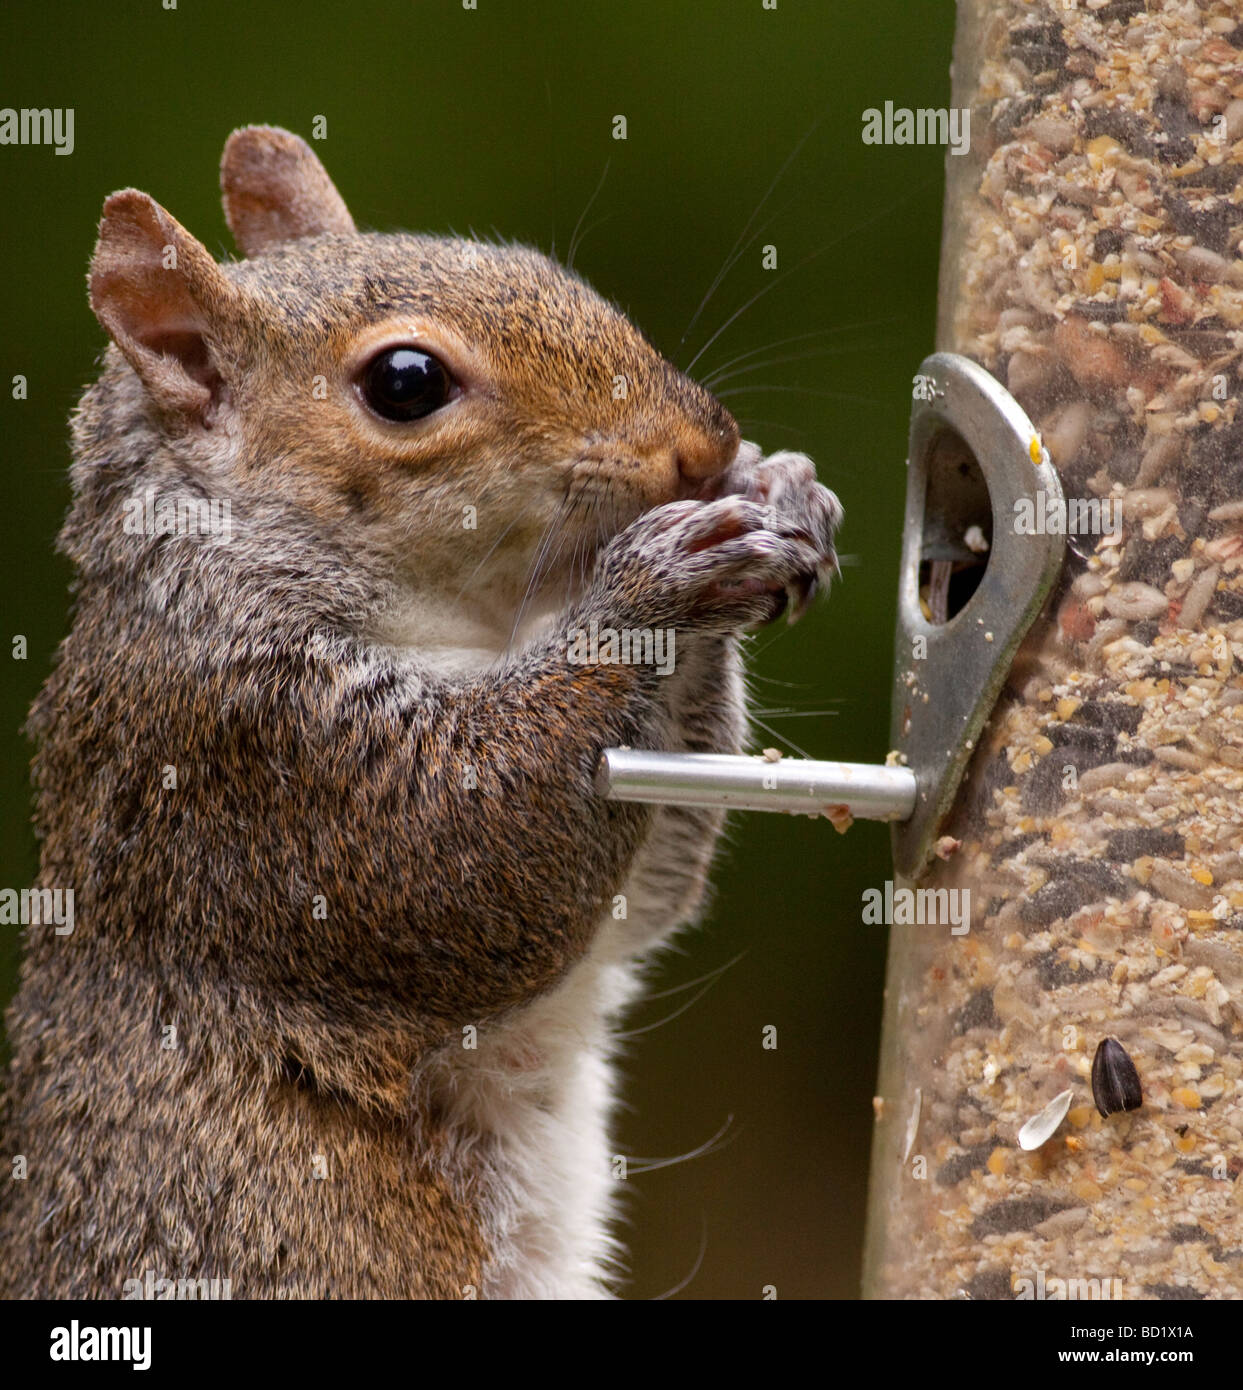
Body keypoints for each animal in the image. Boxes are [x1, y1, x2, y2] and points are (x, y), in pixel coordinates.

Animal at [0, 126, 841, 1299]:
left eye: (545, 269)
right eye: (407, 383)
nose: (701, 449)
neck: (477, 626)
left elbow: (648, 887)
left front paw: (776, 495)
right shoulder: (252, 752)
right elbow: (473, 851)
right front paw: (654, 581)